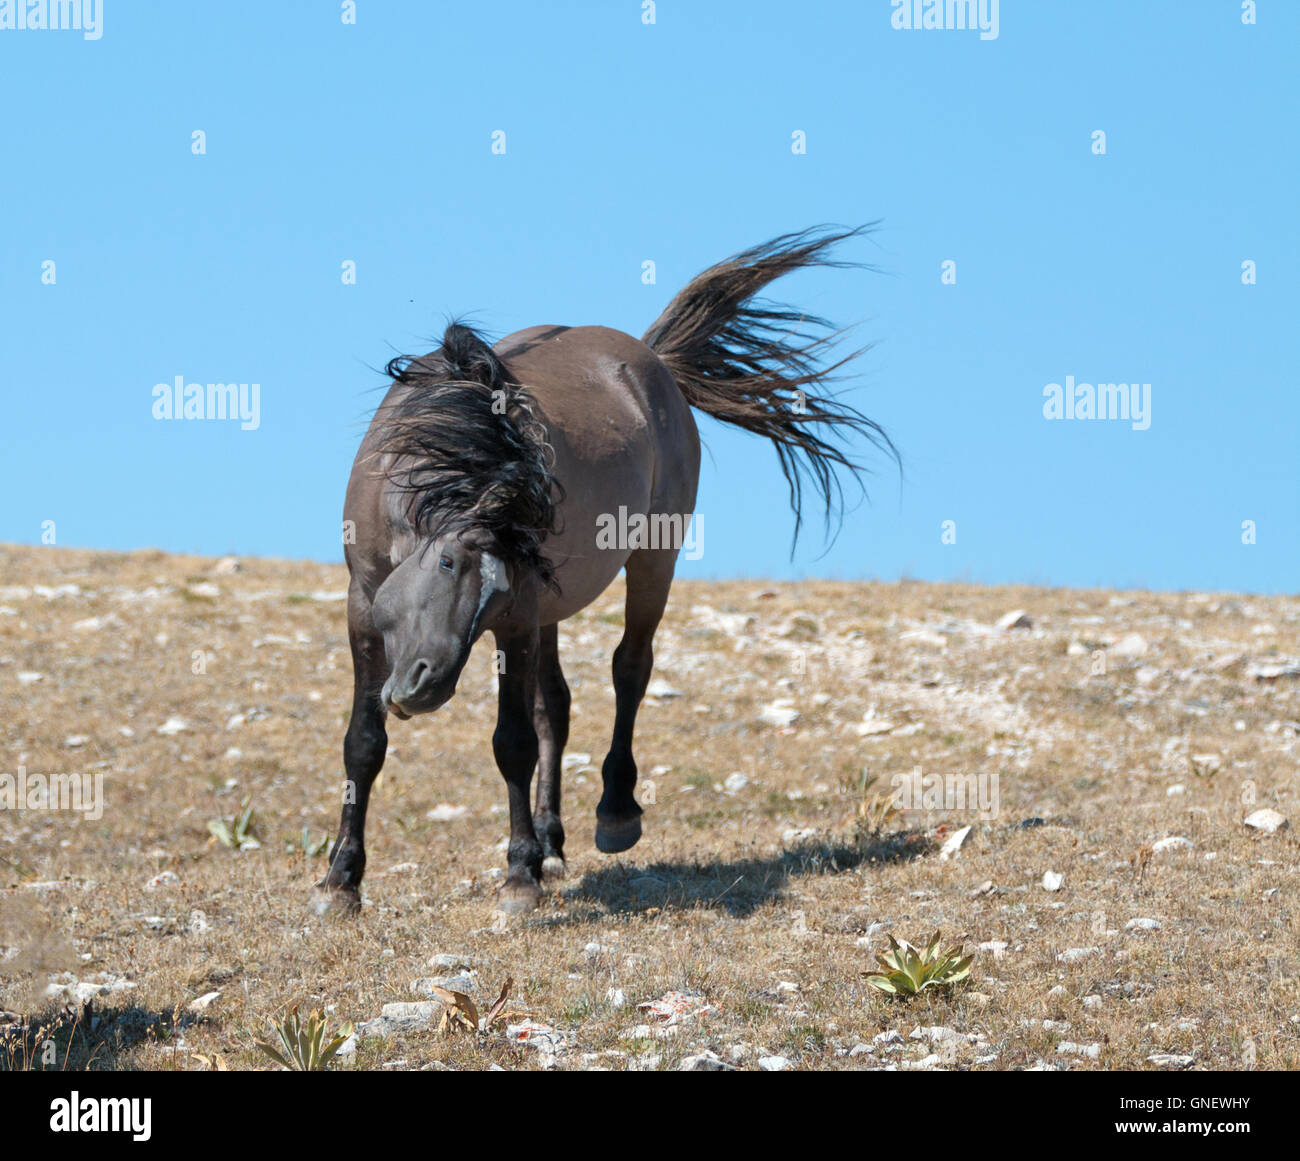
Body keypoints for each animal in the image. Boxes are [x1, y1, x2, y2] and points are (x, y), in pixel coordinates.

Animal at [311, 225, 895, 916]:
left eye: (490, 586)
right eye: (450, 561)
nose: (418, 687)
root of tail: (649, 359)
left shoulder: (518, 618)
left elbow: (511, 743)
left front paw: (518, 877)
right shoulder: (364, 606)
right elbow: (363, 744)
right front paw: (340, 881)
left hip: (651, 560)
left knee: (629, 670)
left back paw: (613, 814)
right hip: (554, 613)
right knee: (555, 709)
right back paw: (551, 841)